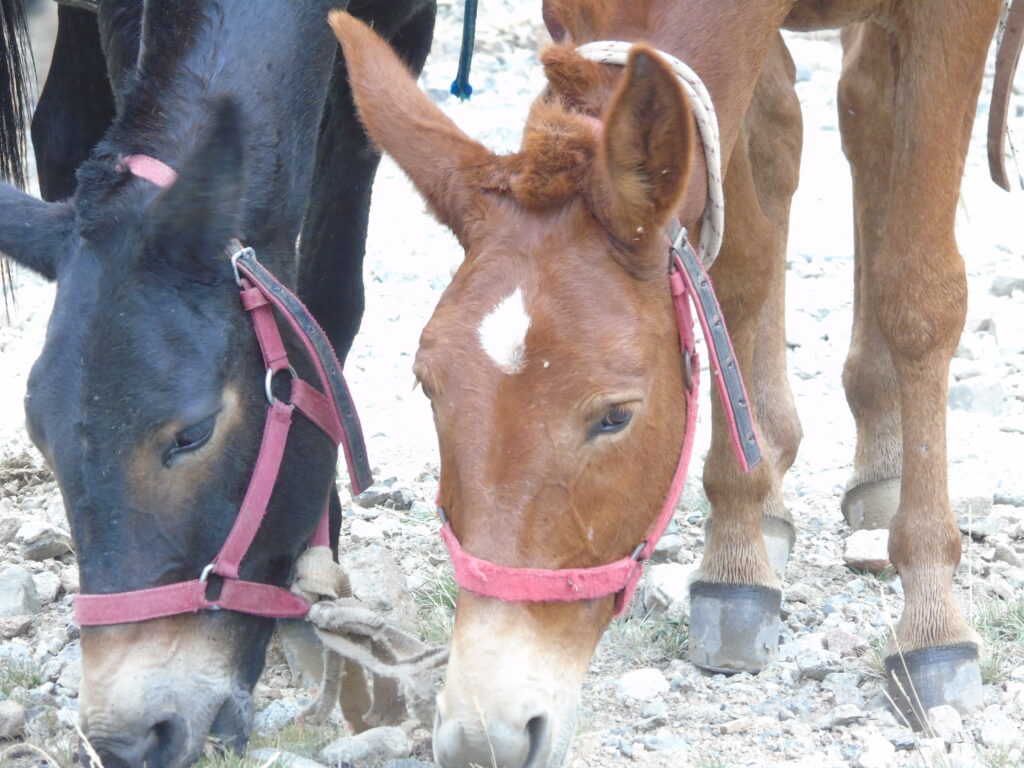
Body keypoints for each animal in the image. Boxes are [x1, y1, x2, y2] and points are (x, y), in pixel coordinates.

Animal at [328, 0, 1013, 765]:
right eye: (428, 387)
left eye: (614, 417)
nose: (485, 734)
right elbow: (735, 266)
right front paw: (738, 550)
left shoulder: (954, 22)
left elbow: (918, 293)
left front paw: (930, 618)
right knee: (814, 123)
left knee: (867, 117)